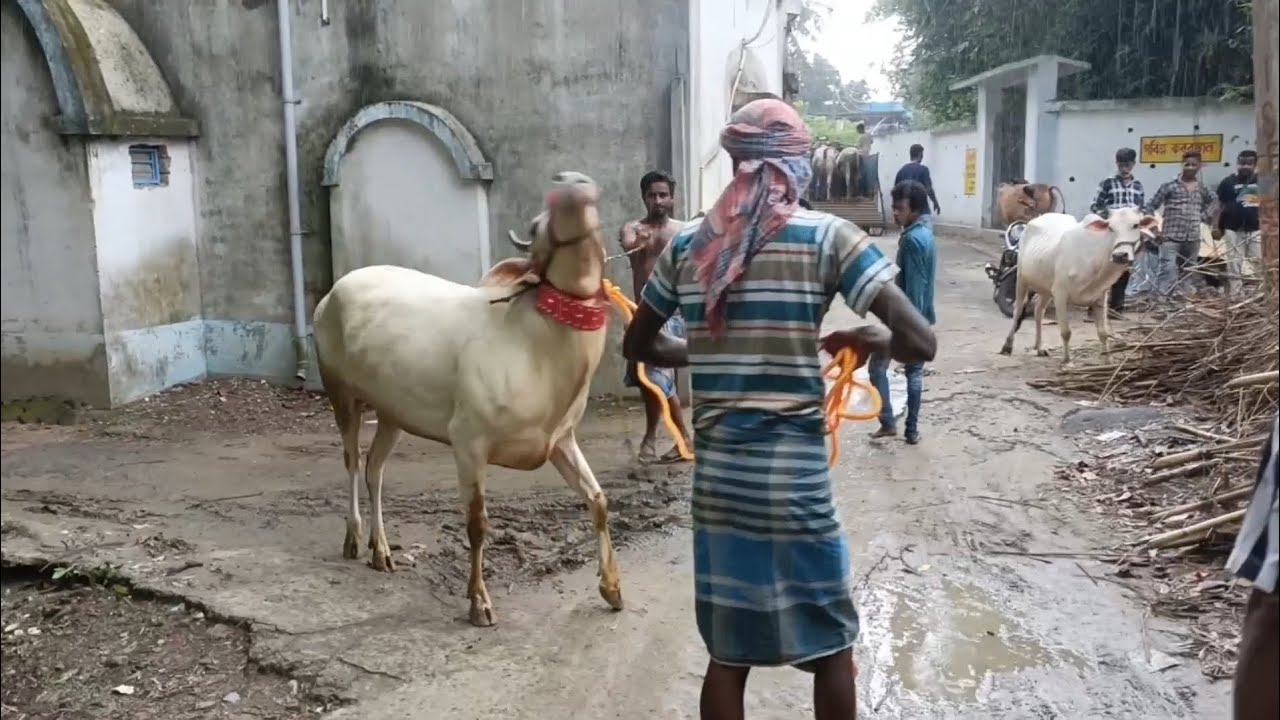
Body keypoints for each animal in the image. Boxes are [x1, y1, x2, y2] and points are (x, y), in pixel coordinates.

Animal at [312, 171, 623, 627]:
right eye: (534, 226)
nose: (569, 182)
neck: (537, 347)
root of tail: (335, 287)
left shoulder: (560, 439)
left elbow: (598, 500)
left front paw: (613, 589)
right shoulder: (469, 439)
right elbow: (477, 524)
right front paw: (479, 602)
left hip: (393, 410)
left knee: (375, 468)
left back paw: (380, 548)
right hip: (339, 390)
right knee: (351, 460)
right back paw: (353, 537)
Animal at [999, 207, 1161, 365]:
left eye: (1136, 225)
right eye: (1110, 227)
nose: (1120, 255)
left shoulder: (1100, 297)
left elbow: (1103, 333)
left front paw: (1109, 360)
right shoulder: (1060, 293)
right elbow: (1066, 332)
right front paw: (1067, 362)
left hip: (1045, 288)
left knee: (1039, 311)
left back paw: (1040, 347)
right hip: (1021, 279)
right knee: (1018, 310)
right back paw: (1007, 345)